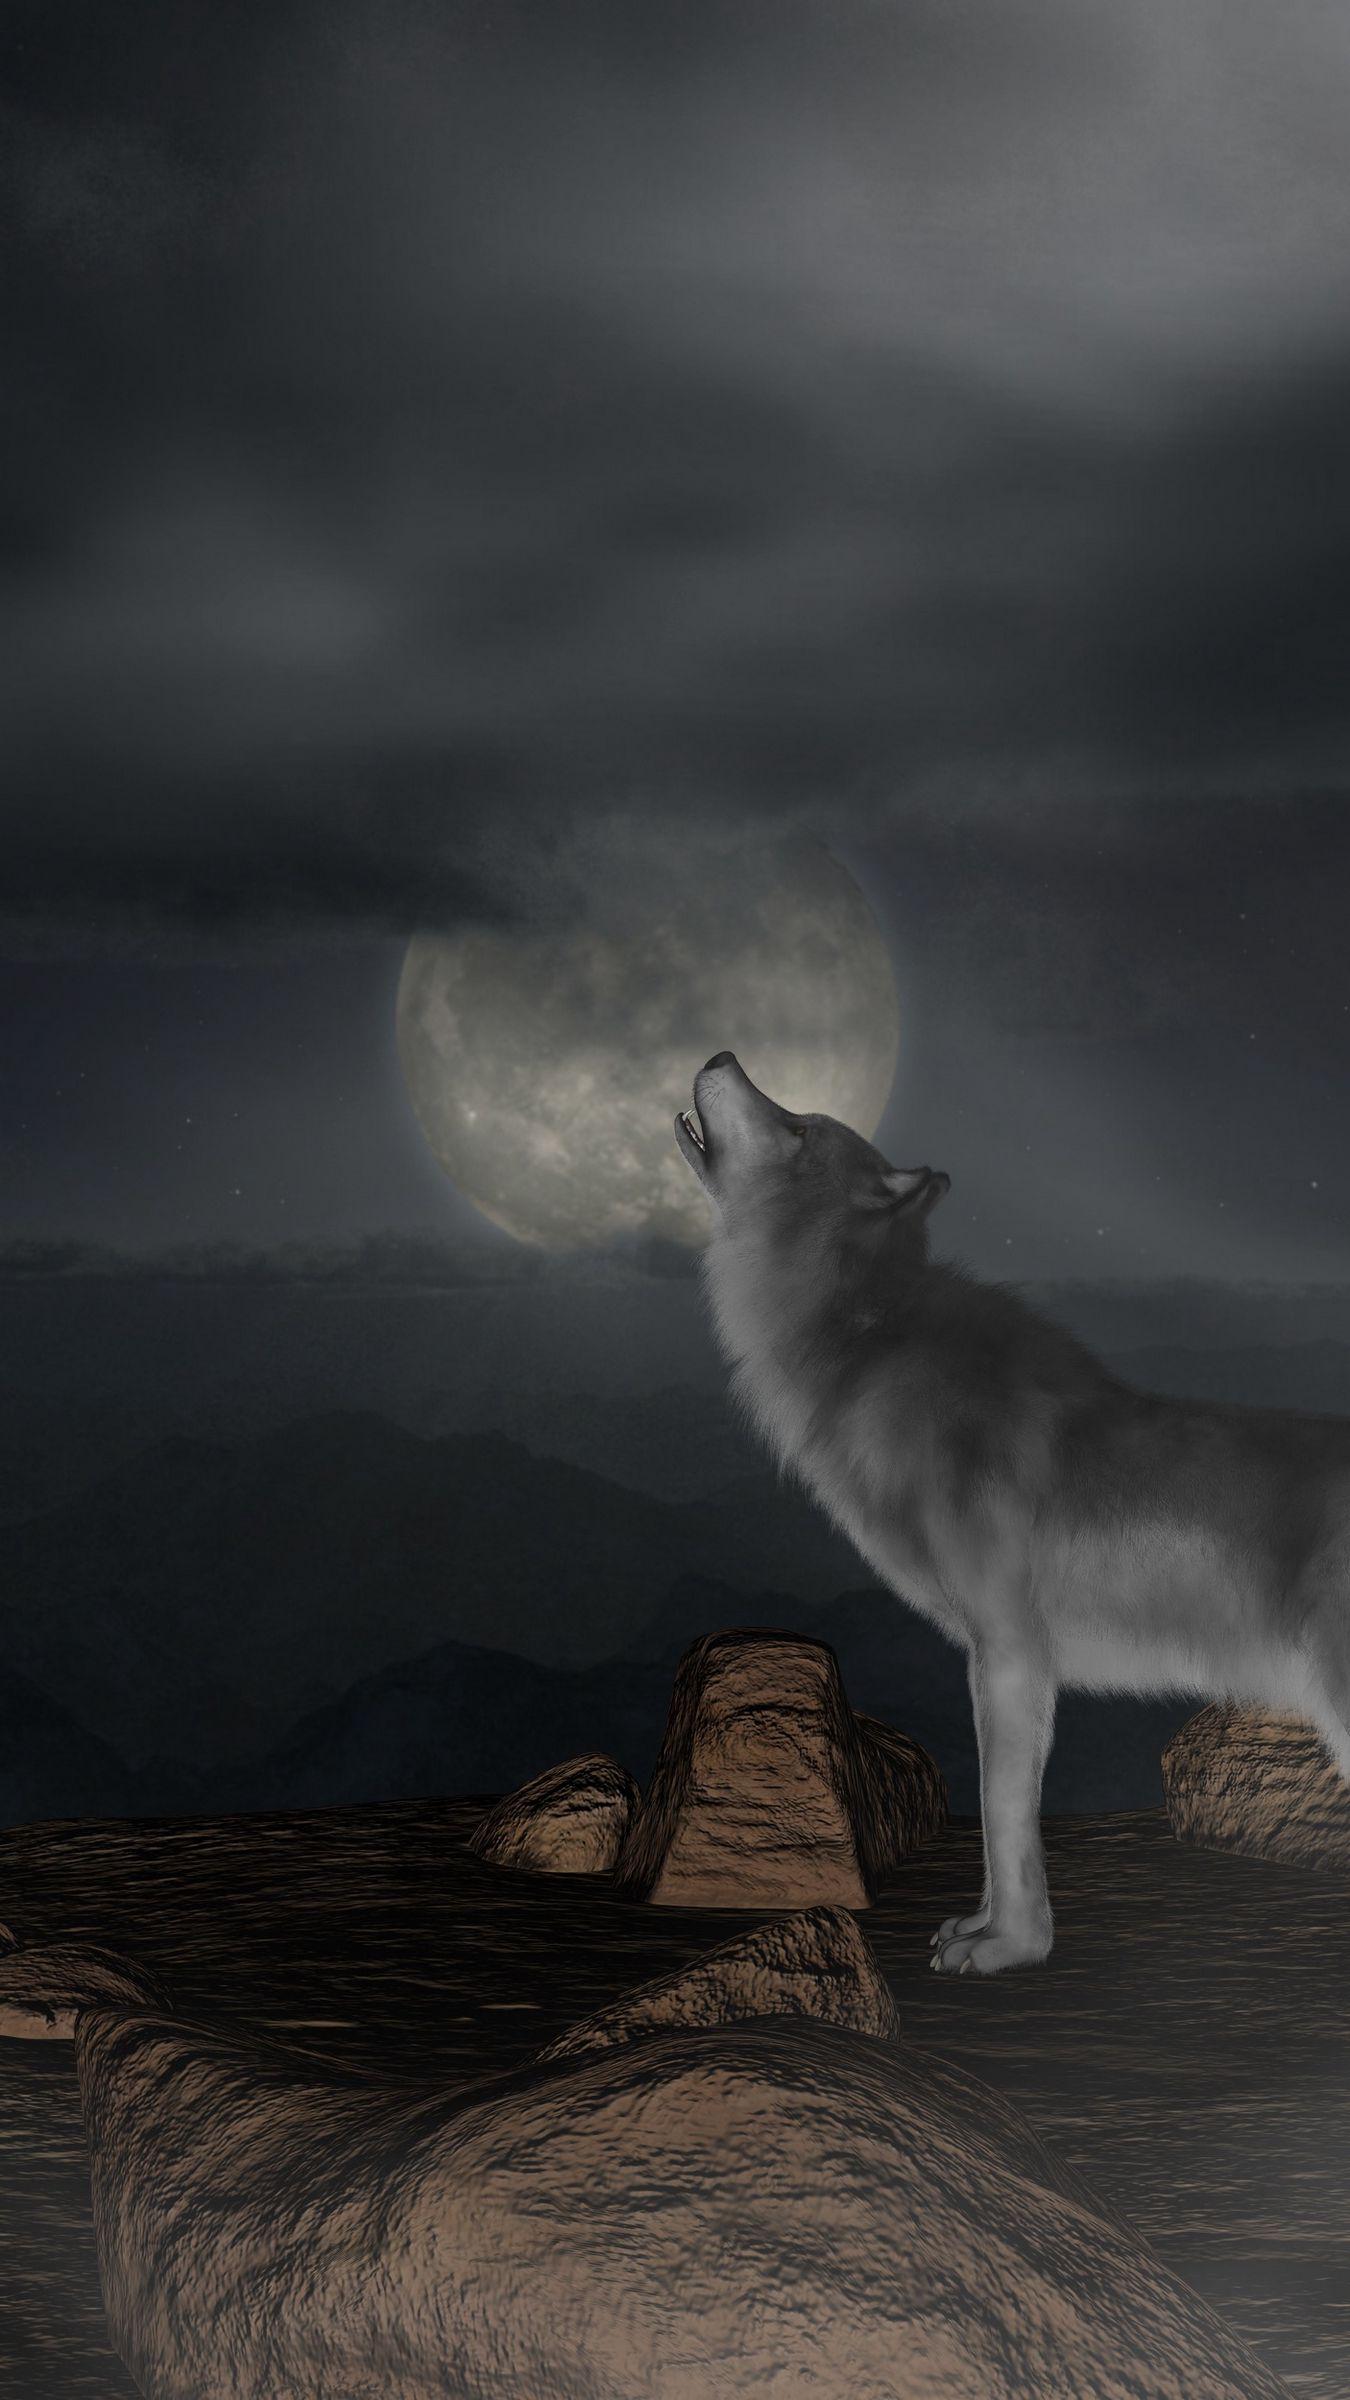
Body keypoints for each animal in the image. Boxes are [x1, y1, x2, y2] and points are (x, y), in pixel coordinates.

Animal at [675, 1050, 1350, 1975]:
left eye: (803, 1126)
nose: (718, 1057)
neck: (864, 1337)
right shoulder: (987, 1661)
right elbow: (999, 1827)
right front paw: (983, 1930)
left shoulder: (1012, 1651)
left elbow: (1004, 1819)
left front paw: (1009, 1950)